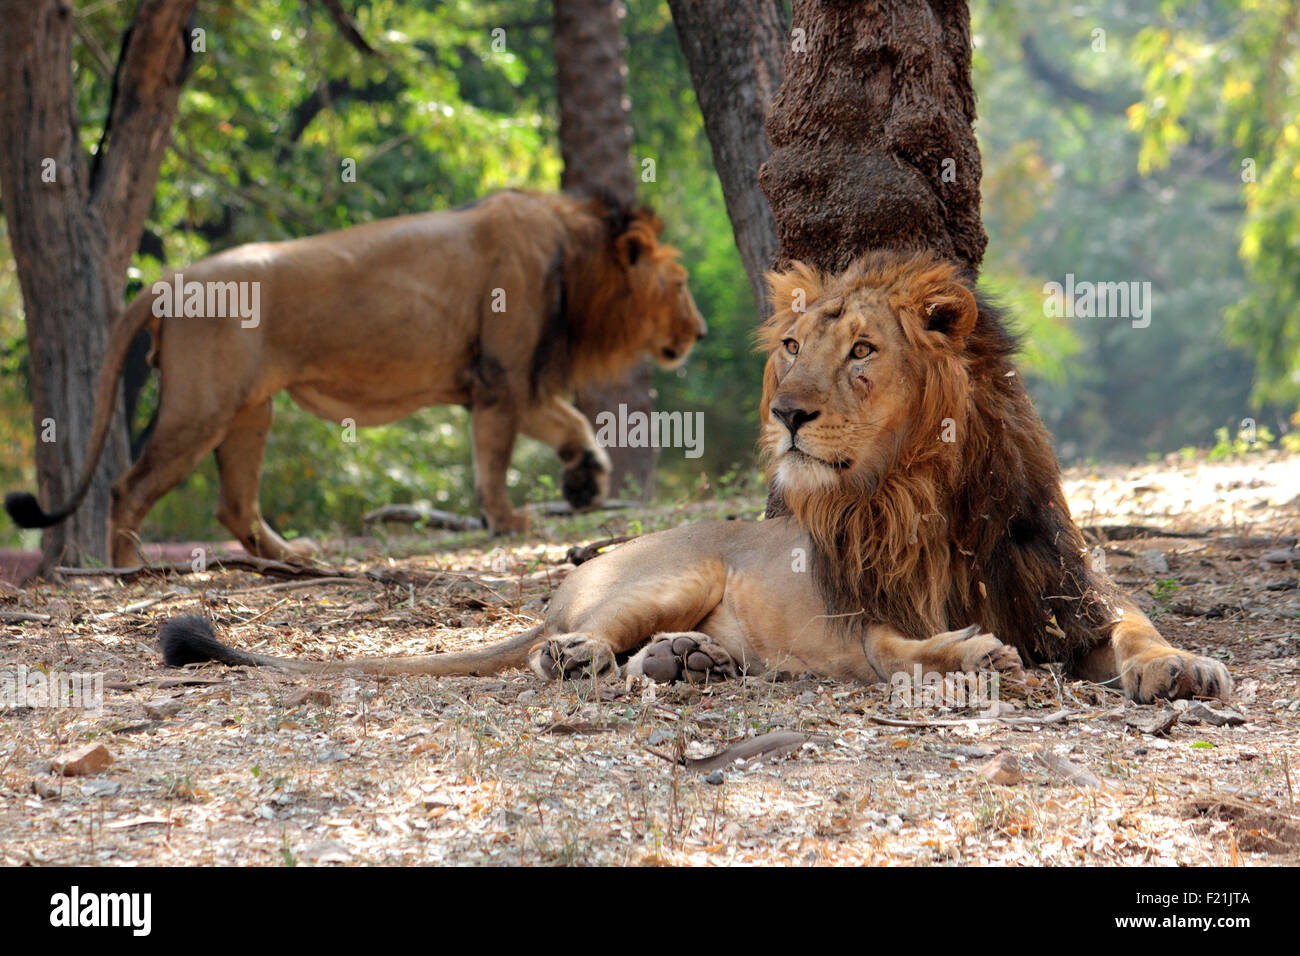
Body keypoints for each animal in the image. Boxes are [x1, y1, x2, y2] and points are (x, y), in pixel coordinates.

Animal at [5, 190, 706, 567]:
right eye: (678, 284)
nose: (698, 332)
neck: (574, 256)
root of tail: (167, 279)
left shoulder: (511, 381)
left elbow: (573, 422)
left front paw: (586, 480)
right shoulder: (501, 378)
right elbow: (496, 459)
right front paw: (510, 520)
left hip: (249, 408)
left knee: (234, 504)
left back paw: (293, 559)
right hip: (203, 405)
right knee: (128, 489)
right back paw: (128, 574)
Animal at [157, 250, 1229, 703]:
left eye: (862, 351)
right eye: (791, 345)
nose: (785, 411)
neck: (923, 490)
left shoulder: (1066, 589)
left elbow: (1136, 628)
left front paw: (1182, 667)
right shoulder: (859, 608)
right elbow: (897, 647)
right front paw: (970, 655)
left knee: (650, 654)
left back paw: (691, 661)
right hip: (673, 570)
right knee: (575, 646)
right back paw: (600, 658)